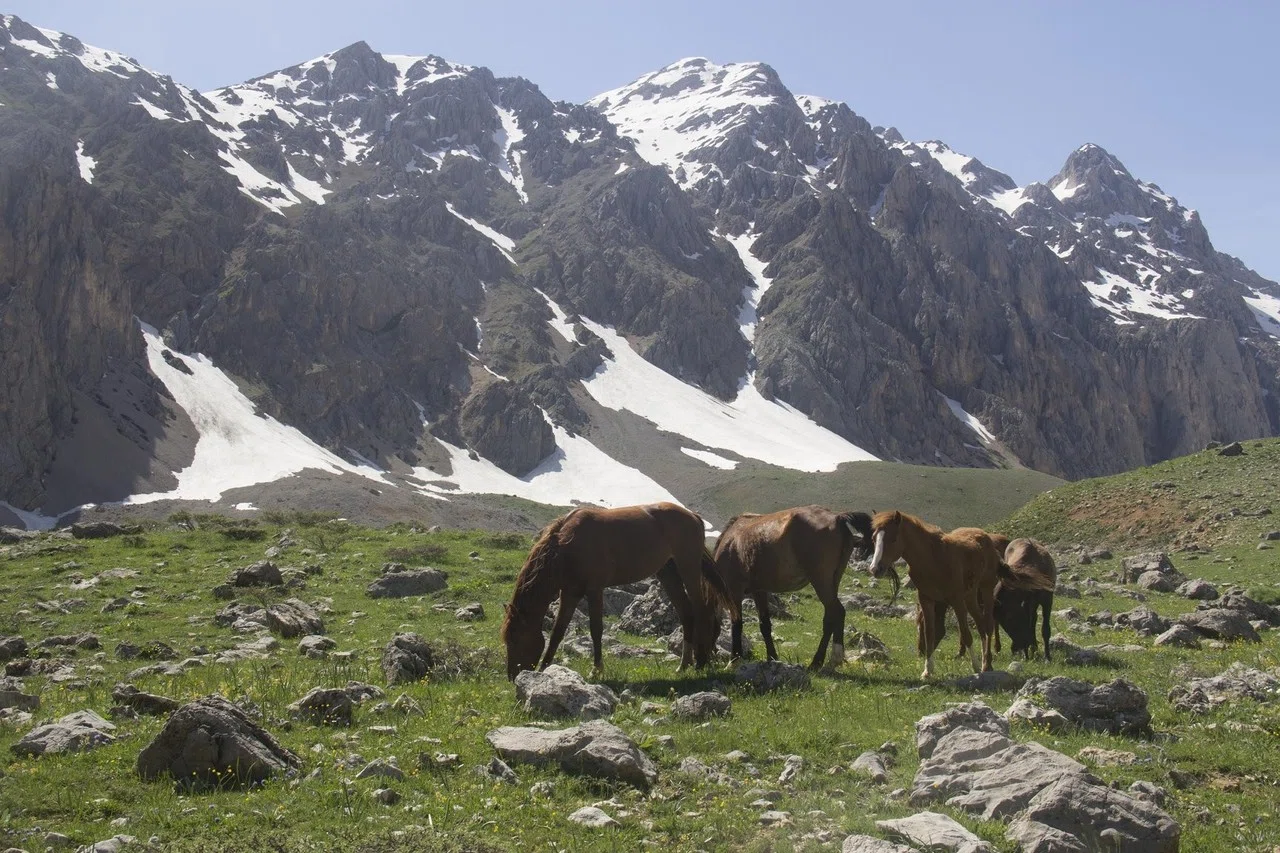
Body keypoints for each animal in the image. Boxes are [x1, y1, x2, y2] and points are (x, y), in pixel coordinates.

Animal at [500, 502, 738, 680]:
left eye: (516, 639)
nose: (512, 676)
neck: (567, 546)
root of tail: (694, 516)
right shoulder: (569, 592)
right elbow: (558, 631)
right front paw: (544, 669)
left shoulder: (594, 590)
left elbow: (596, 629)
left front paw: (596, 670)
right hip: (667, 572)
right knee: (686, 612)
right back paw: (684, 664)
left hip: (687, 567)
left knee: (700, 609)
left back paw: (700, 662)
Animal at [710, 506, 873, 670]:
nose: (711, 658)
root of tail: (837, 517)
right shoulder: (759, 591)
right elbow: (765, 625)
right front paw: (772, 658)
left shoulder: (734, 591)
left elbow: (737, 625)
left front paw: (734, 661)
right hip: (834, 580)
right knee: (831, 616)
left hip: (821, 581)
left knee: (836, 612)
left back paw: (822, 660)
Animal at [867, 510, 1009, 678]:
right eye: (873, 538)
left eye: (893, 539)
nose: (875, 569)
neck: (933, 559)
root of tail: (986, 537)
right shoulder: (927, 600)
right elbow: (930, 634)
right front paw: (927, 671)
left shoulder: (956, 600)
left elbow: (965, 634)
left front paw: (975, 668)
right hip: (970, 595)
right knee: (981, 624)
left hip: (985, 590)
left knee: (987, 625)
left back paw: (986, 665)